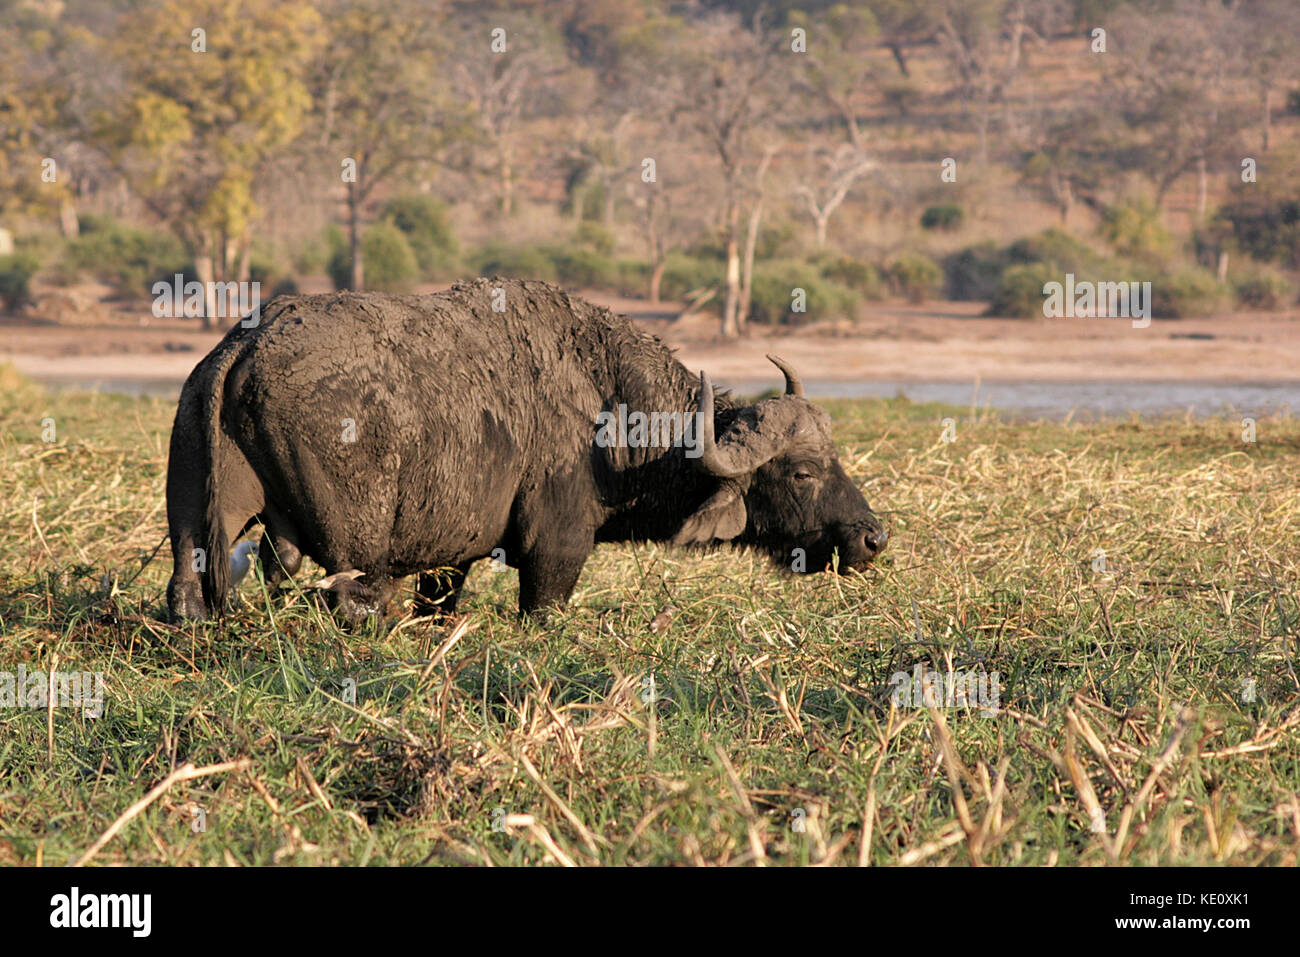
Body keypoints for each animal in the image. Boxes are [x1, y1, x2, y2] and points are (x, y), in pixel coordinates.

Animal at [165, 279, 887, 622]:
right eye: (802, 471)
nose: (872, 536)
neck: (609, 405)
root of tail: (248, 345)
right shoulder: (555, 548)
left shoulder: (448, 559)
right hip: (358, 547)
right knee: (353, 598)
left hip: (198, 518)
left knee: (192, 589)